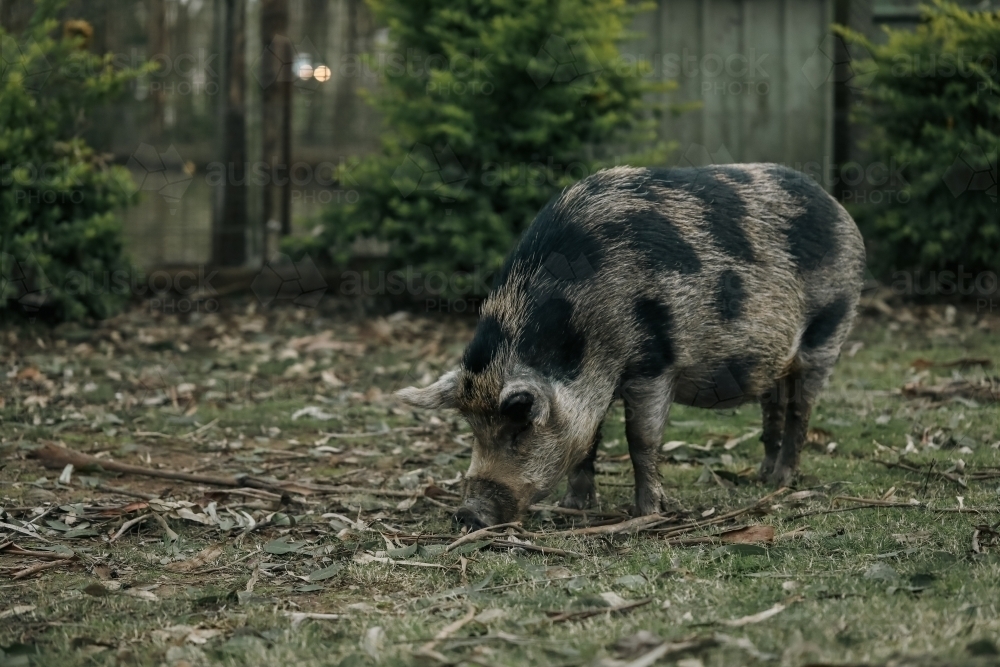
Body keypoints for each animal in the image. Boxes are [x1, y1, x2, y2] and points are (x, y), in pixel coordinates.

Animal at [397, 164, 865, 529]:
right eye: (473, 429)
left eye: (520, 427)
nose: (466, 515)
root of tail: (840, 210)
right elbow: (590, 438)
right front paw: (575, 506)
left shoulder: (653, 363)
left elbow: (640, 438)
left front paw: (648, 513)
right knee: (774, 404)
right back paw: (763, 476)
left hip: (830, 327)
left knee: (801, 408)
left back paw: (783, 480)